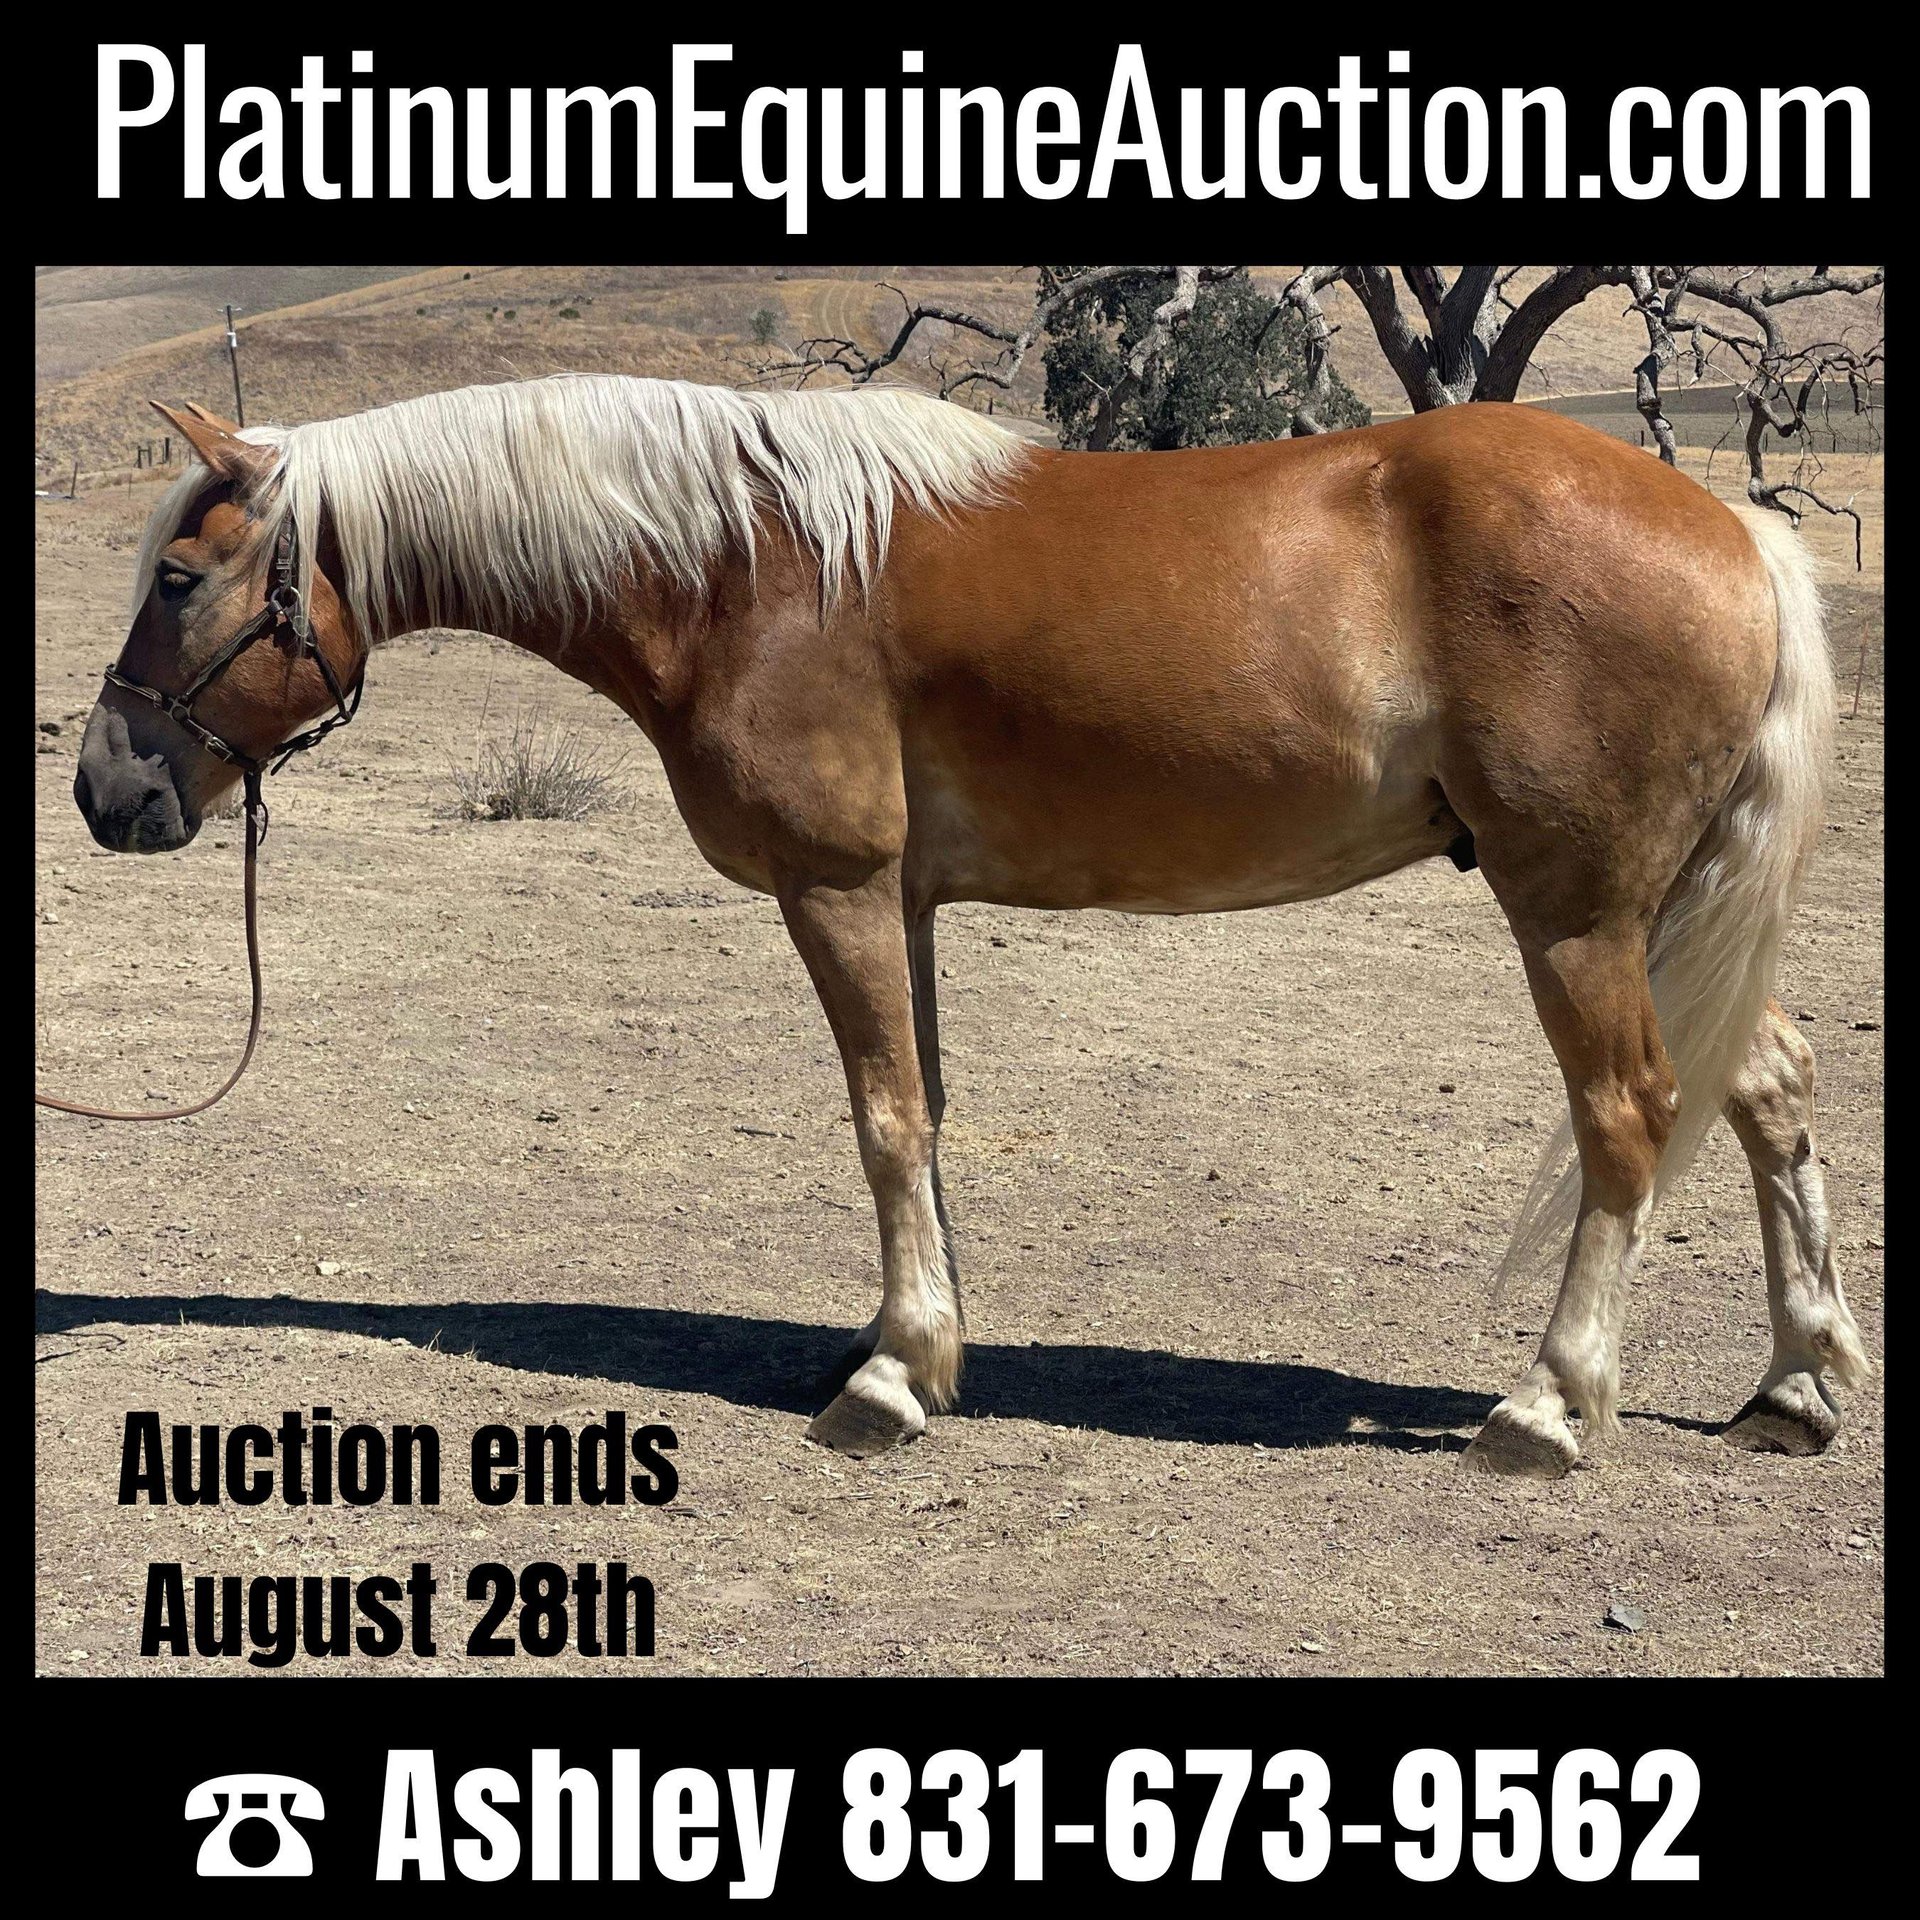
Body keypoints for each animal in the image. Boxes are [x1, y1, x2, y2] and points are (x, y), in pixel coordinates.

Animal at [69, 372, 1870, 1476]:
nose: (106, 787)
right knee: (1768, 1086)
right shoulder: (908, 904)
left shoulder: (842, 889)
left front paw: (888, 1382)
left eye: (179, 579)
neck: (747, 566)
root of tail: (1732, 525)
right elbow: (923, 1115)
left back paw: (1553, 1409)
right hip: (1667, 908)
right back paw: (1793, 1385)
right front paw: (921, 1344)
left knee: (1632, 1113)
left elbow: (881, 1118)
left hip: (1576, 909)